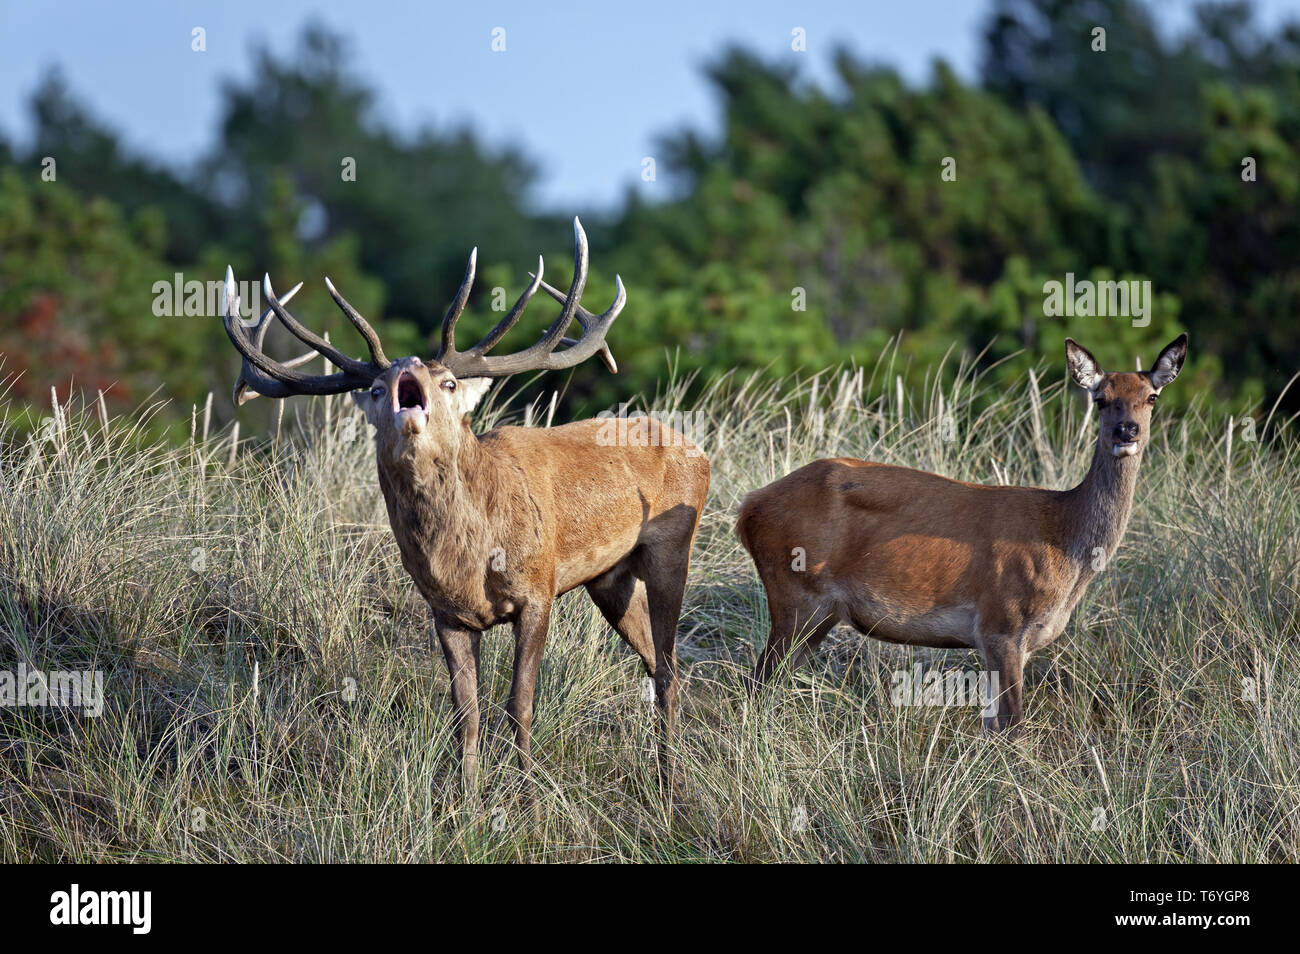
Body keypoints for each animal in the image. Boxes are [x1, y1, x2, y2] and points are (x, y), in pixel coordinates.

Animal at [221, 219, 710, 789]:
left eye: (449, 381)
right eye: (375, 388)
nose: (409, 366)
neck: (469, 556)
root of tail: (697, 449)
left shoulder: (538, 589)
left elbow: (519, 703)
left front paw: (529, 793)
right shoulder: (446, 614)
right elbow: (466, 713)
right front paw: (466, 798)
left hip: (673, 548)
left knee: (671, 666)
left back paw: (671, 782)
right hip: (609, 579)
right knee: (656, 663)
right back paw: (663, 774)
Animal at [736, 334, 1187, 735]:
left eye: (1151, 397)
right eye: (1100, 398)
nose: (1126, 431)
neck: (1063, 538)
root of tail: (747, 508)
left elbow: (992, 726)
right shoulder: (1001, 622)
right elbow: (1013, 725)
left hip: (819, 615)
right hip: (796, 595)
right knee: (757, 685)